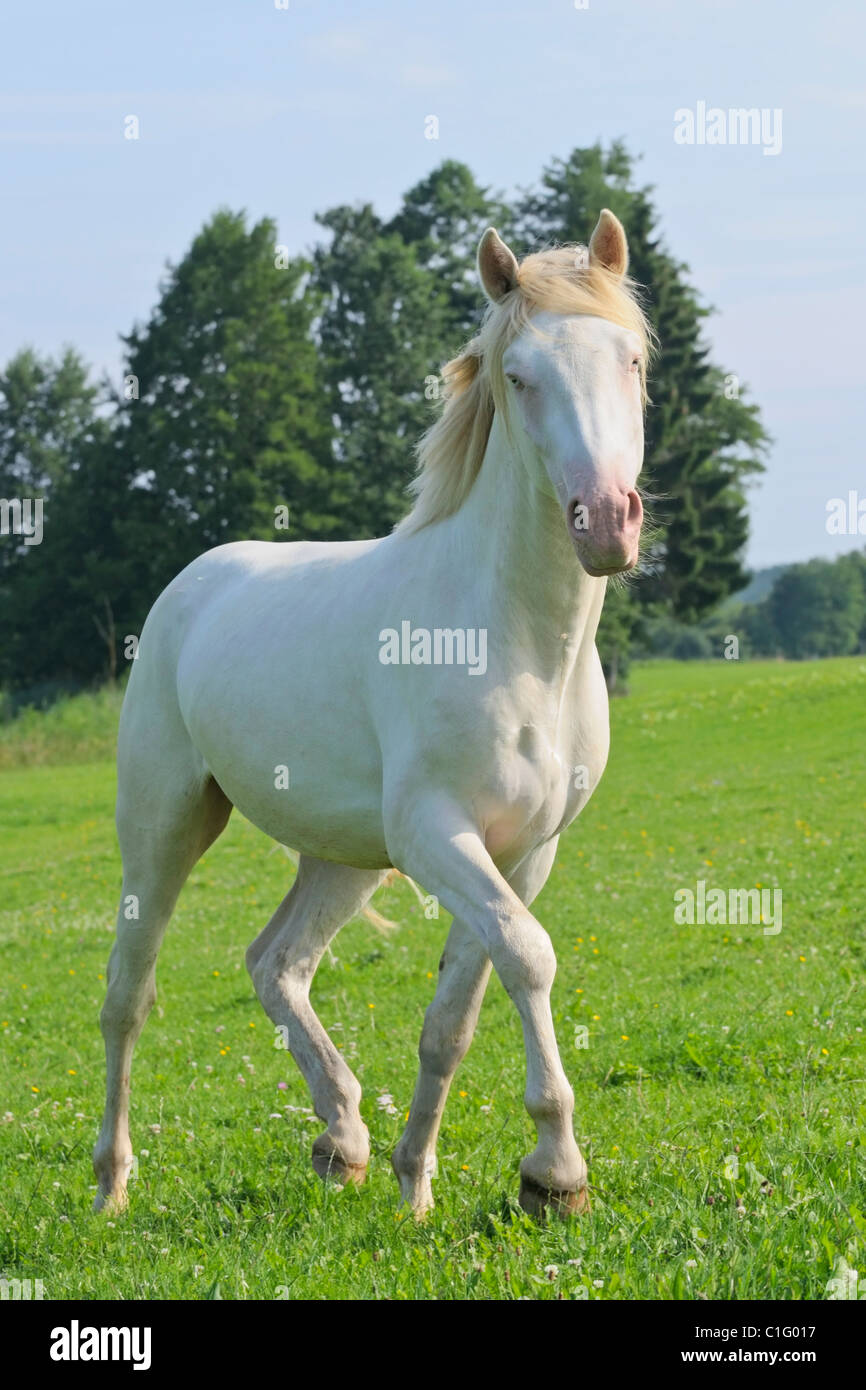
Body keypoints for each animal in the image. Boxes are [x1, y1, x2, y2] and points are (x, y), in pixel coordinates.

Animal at [93, 209, 653, 1219]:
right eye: (520, 377)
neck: (513, 639)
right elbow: (530, 955)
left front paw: (415, 1183)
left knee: (276, 964)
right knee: (129, 994)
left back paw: (342, 1140)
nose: (606, 523)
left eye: (629, 359)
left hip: (342, 858)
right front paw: (557, 1170)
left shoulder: (523, 852)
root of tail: (191, 585)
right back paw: (112, 1184)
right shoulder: (437, 832)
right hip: (164, 828)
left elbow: (452, 1018)